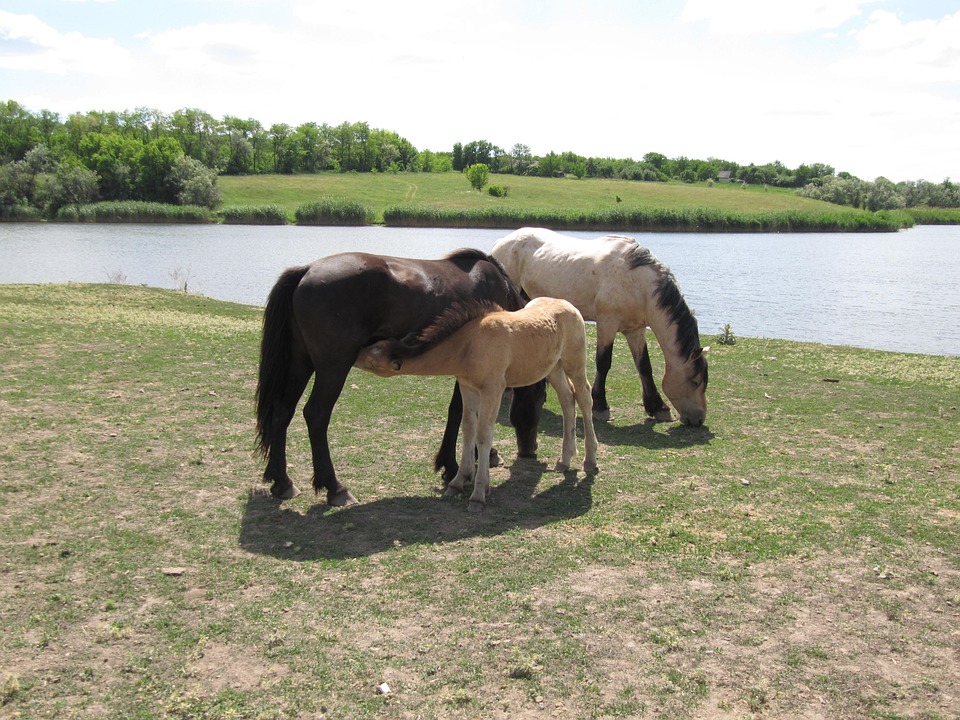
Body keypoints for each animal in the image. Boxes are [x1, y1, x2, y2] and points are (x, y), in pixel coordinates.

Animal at [255, 248, 546, 505]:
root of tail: (306, 270)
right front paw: (456, 465)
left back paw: (282, 482)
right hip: (332, 367)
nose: (530, 449)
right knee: (316, 415)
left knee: (282, 412)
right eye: (541, 400)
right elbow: (460, 414)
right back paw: (335, 488)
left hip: (300, 362)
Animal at [355, 297, 599, 513]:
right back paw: (565, 459)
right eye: (374, 345)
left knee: (584, 396)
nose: (354, 354)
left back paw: (590, 459)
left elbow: (483, 435)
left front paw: (479, 494)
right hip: (554, 368)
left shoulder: (493, 389)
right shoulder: (468, 387)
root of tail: (569, 305)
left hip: (574, 362)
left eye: (372, 358)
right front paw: (457, 482)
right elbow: (468, 429)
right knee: (567, 398)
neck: (470, 345)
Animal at [491, 227, 708, 427]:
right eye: (695, 381)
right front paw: (600, 407)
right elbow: (604, 362)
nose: (698, 420)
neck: (639, 284)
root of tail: (503, 241)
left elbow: (644, 365)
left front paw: (657, 407)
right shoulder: (607, 323)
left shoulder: (635, 329)